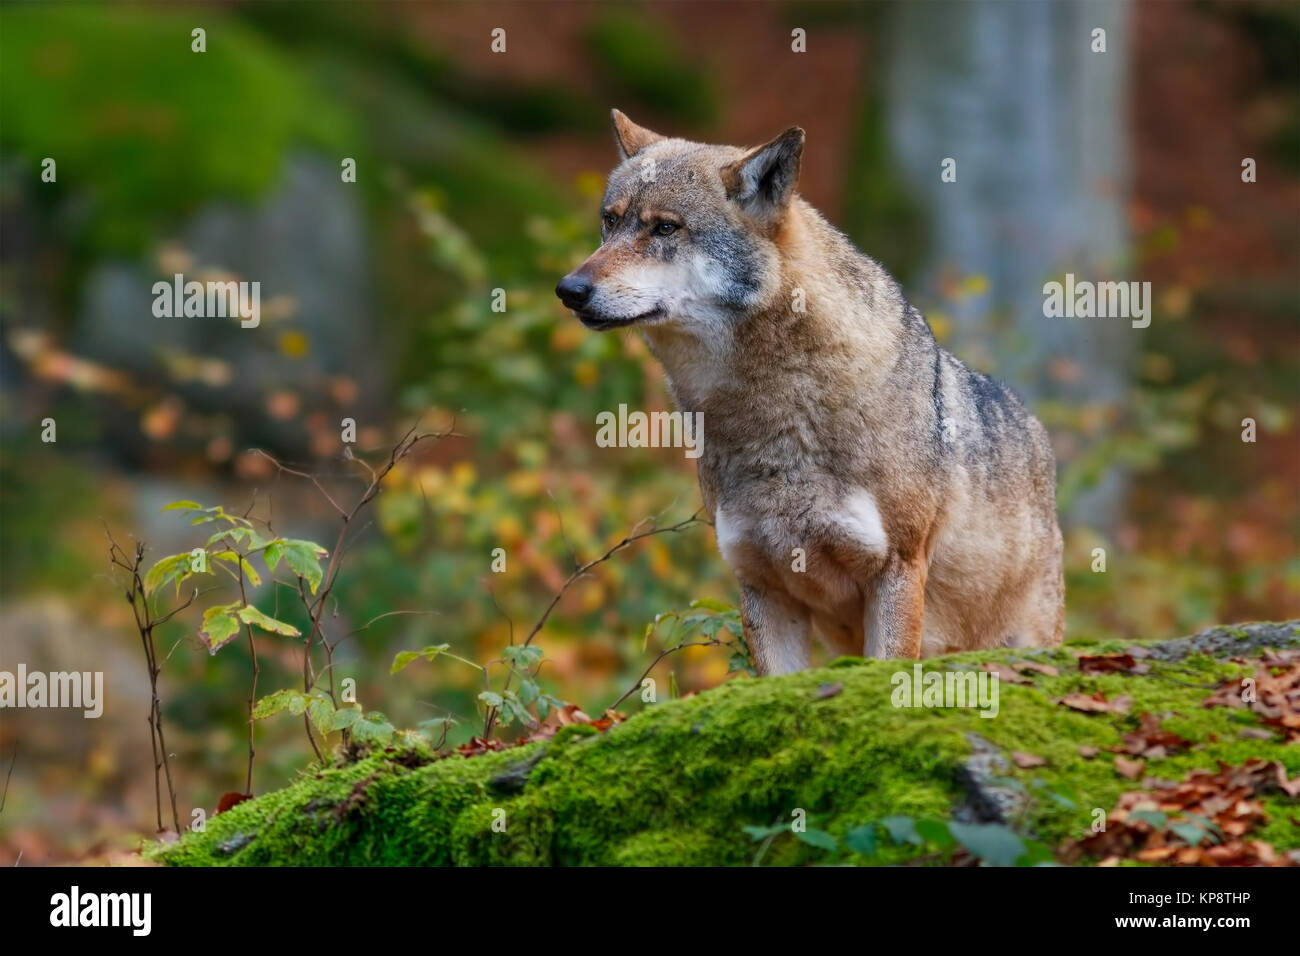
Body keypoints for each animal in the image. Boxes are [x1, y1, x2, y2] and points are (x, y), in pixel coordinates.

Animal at [556, 110, 1064, 675]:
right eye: (610, 222)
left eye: (665, 227)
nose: (569, 290)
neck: (776, 418)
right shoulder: (761, 582)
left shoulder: (897, 570)